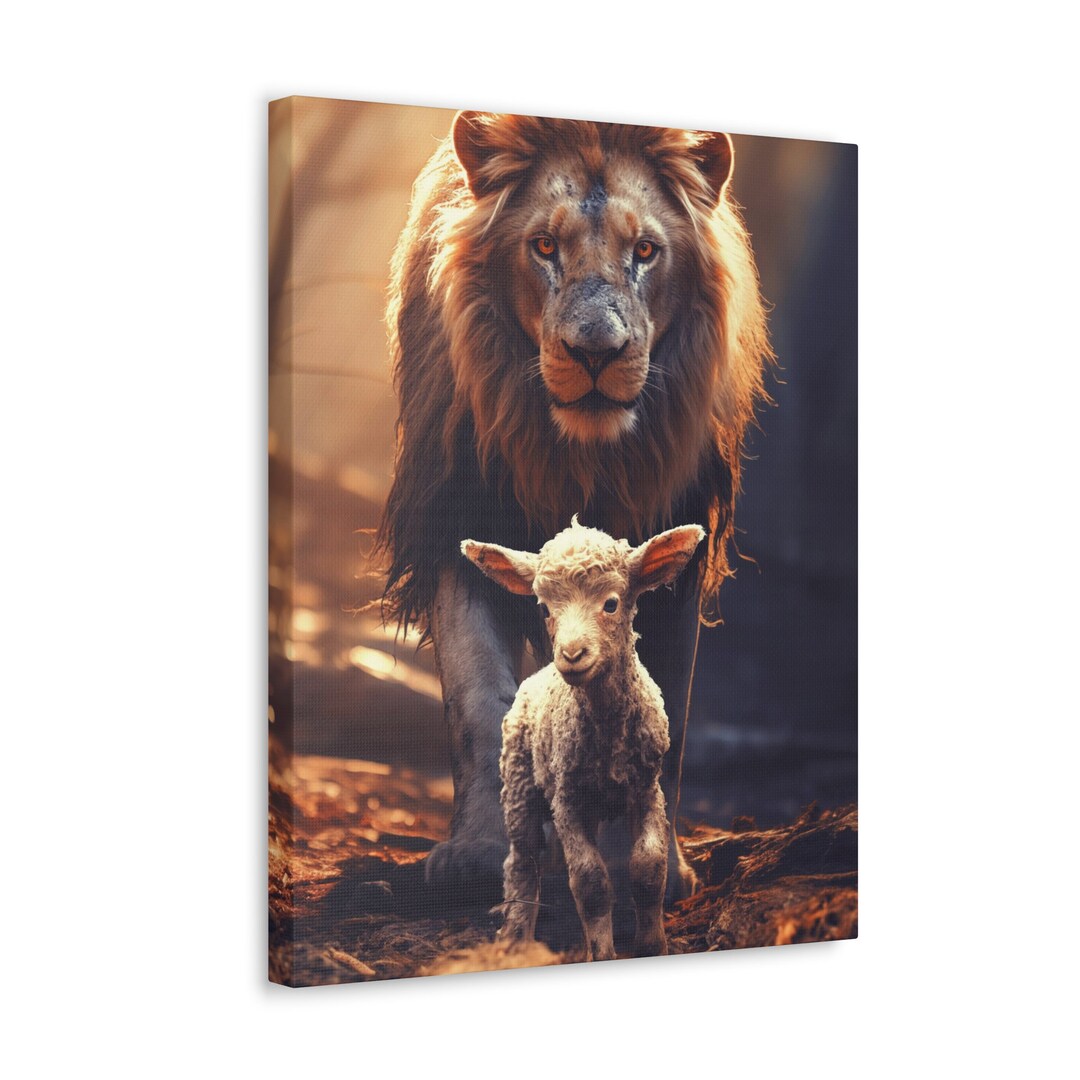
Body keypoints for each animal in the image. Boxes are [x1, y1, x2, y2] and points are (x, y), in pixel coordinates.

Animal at [375, 111, 772, 907]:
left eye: (644, 251)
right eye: (544, 247)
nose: (596, 353)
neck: (578, 460)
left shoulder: (673, 547)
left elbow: (667, 712)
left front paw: (656, 864)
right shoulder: (459, 518)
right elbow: (481, 702)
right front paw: (478, 855)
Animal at [461, 517, 706, 961]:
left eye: (611, 603)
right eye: (543, 608)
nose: (572, 655)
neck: (607, 731)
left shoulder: (647, 789)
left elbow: (648, 867)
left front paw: (651, 945)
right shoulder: (568, 801)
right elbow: (590, 883)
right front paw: (603, 953)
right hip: (520, 783)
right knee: (522, 862)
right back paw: (515, 937)